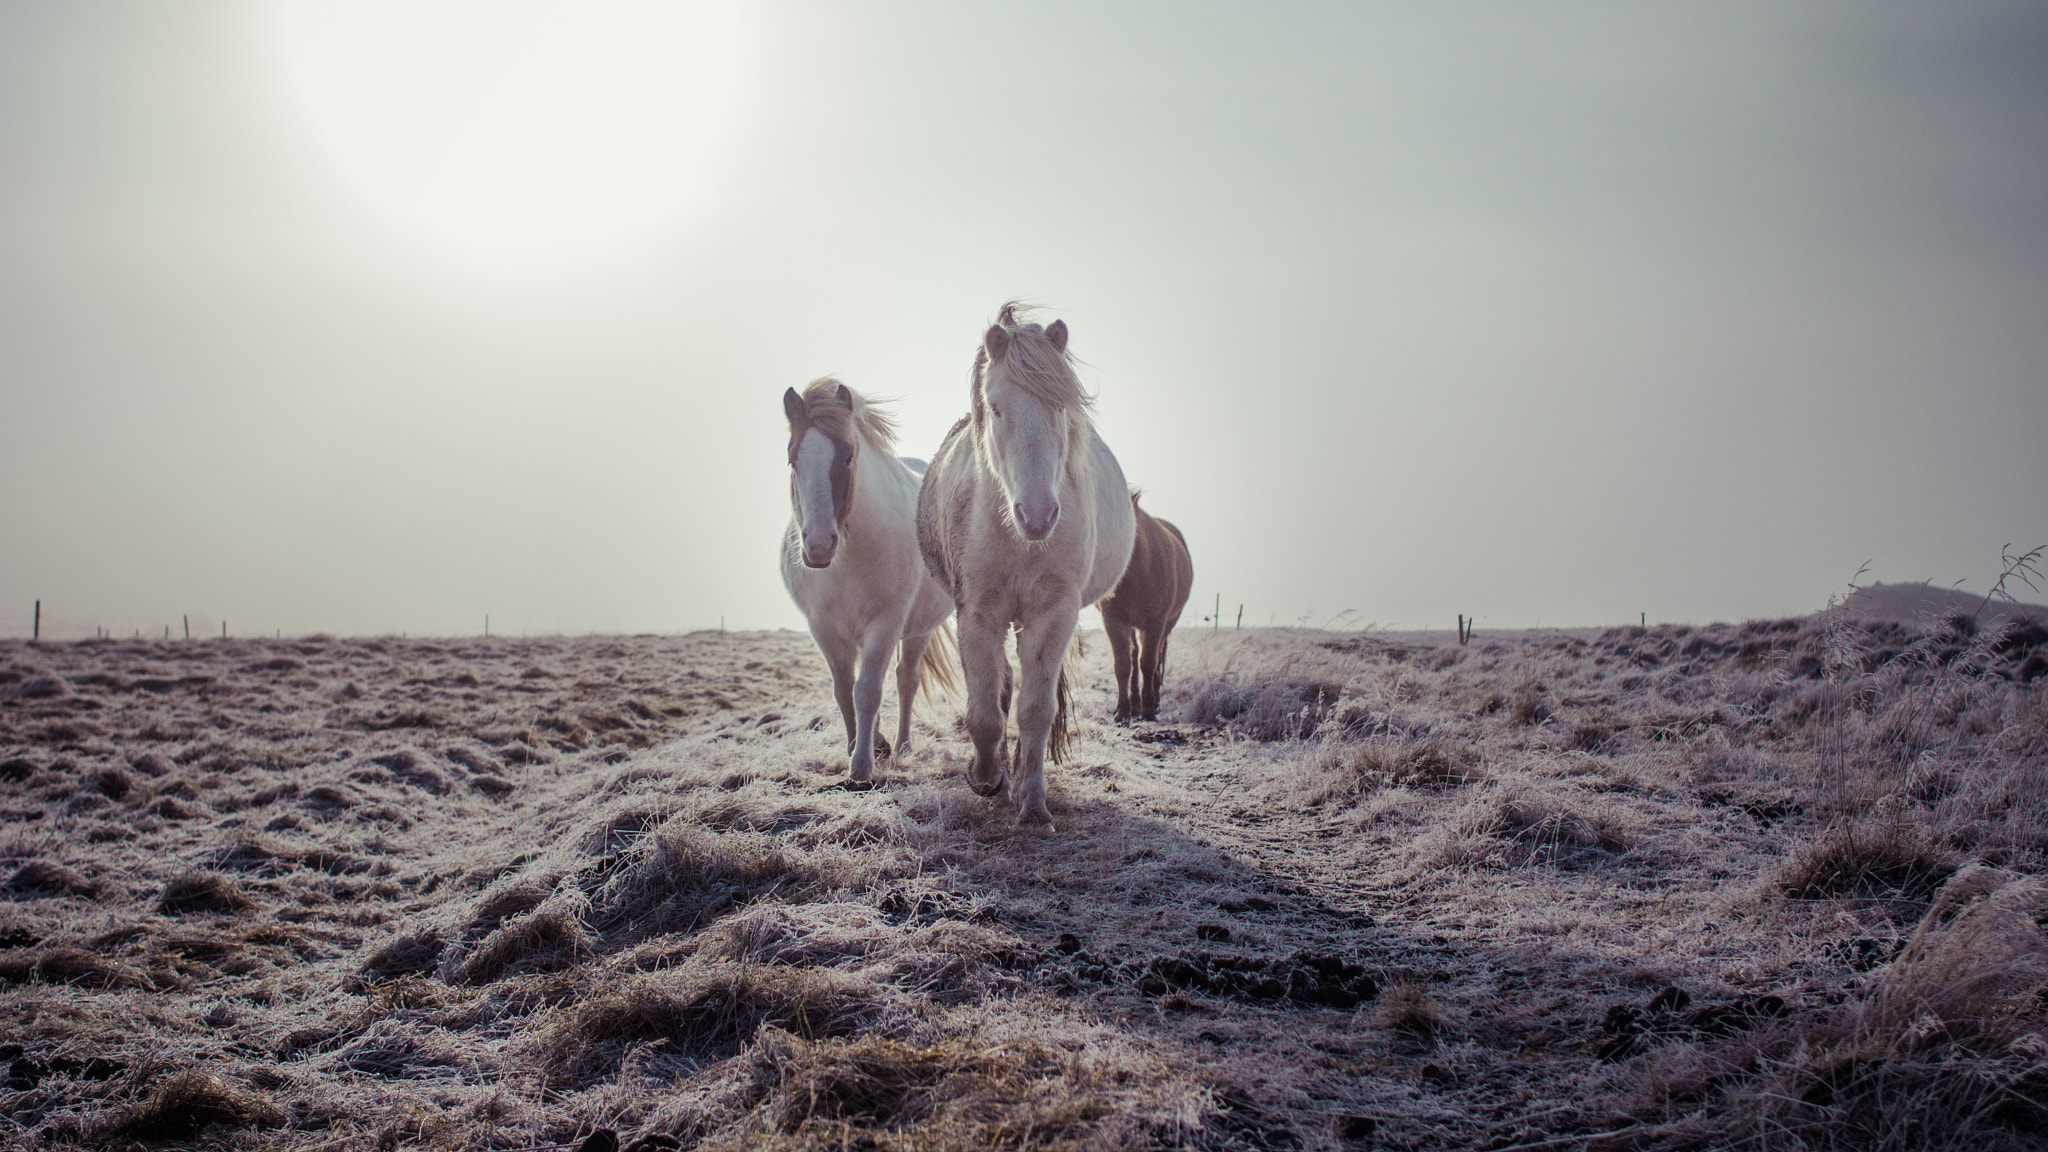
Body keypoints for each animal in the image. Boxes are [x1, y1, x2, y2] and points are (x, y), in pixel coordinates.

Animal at [782, 381, 958, 783]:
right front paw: (857, 749)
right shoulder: (825, 629)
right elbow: (845, 692)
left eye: (848, 457)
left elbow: (868, 691)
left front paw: (861, 765)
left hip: (918, 629)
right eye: (792, 460)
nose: (818, 546)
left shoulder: (886, 623)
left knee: (905, 679)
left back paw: (903, 745)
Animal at [925, 305, 1146, 824]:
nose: (1039, 515)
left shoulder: (1054, 613)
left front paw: (1033, 803)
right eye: (996, 407)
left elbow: (1035, 710)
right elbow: (986, 713)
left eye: (1061, 407)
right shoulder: (978, 615)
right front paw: (986, 779)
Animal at [1097, 491, 1196, 717]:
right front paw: (1123, 711)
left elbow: (1149, 662)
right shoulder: (1114, 620)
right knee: (1134, 656)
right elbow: (1123, 664)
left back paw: (1152, 701)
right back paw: (1134, 704)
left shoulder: (1156, 621)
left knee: (1156, 656)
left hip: (1166, 622)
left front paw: (1149, 707)